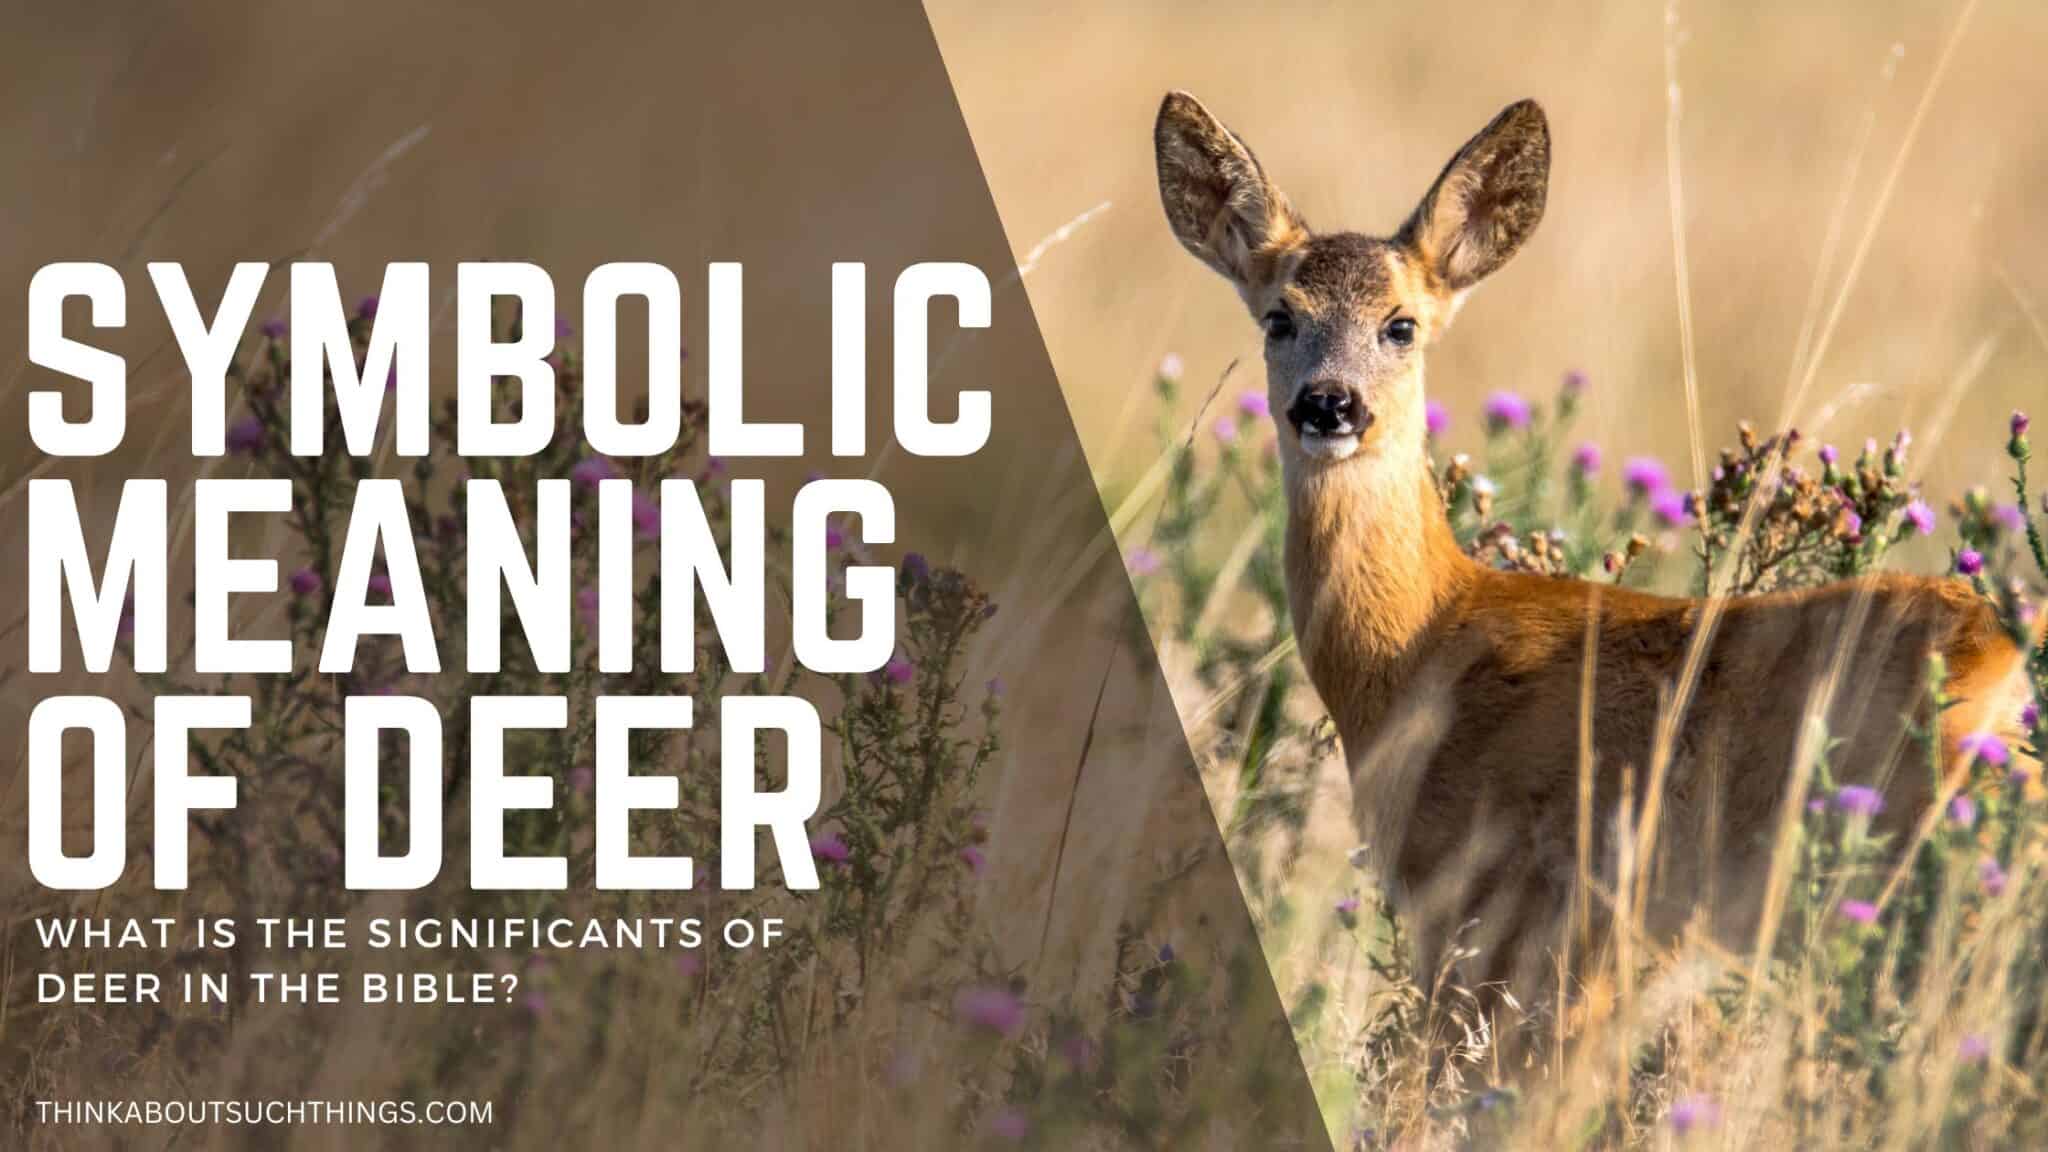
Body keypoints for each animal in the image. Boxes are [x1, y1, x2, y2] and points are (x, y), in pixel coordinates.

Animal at [1153, 91, 2040, 1007]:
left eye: (1401, 326)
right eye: (1279, 318)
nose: (1329, 405)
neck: (1419, 644)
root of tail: (2000, 654)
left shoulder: (1507, 905)